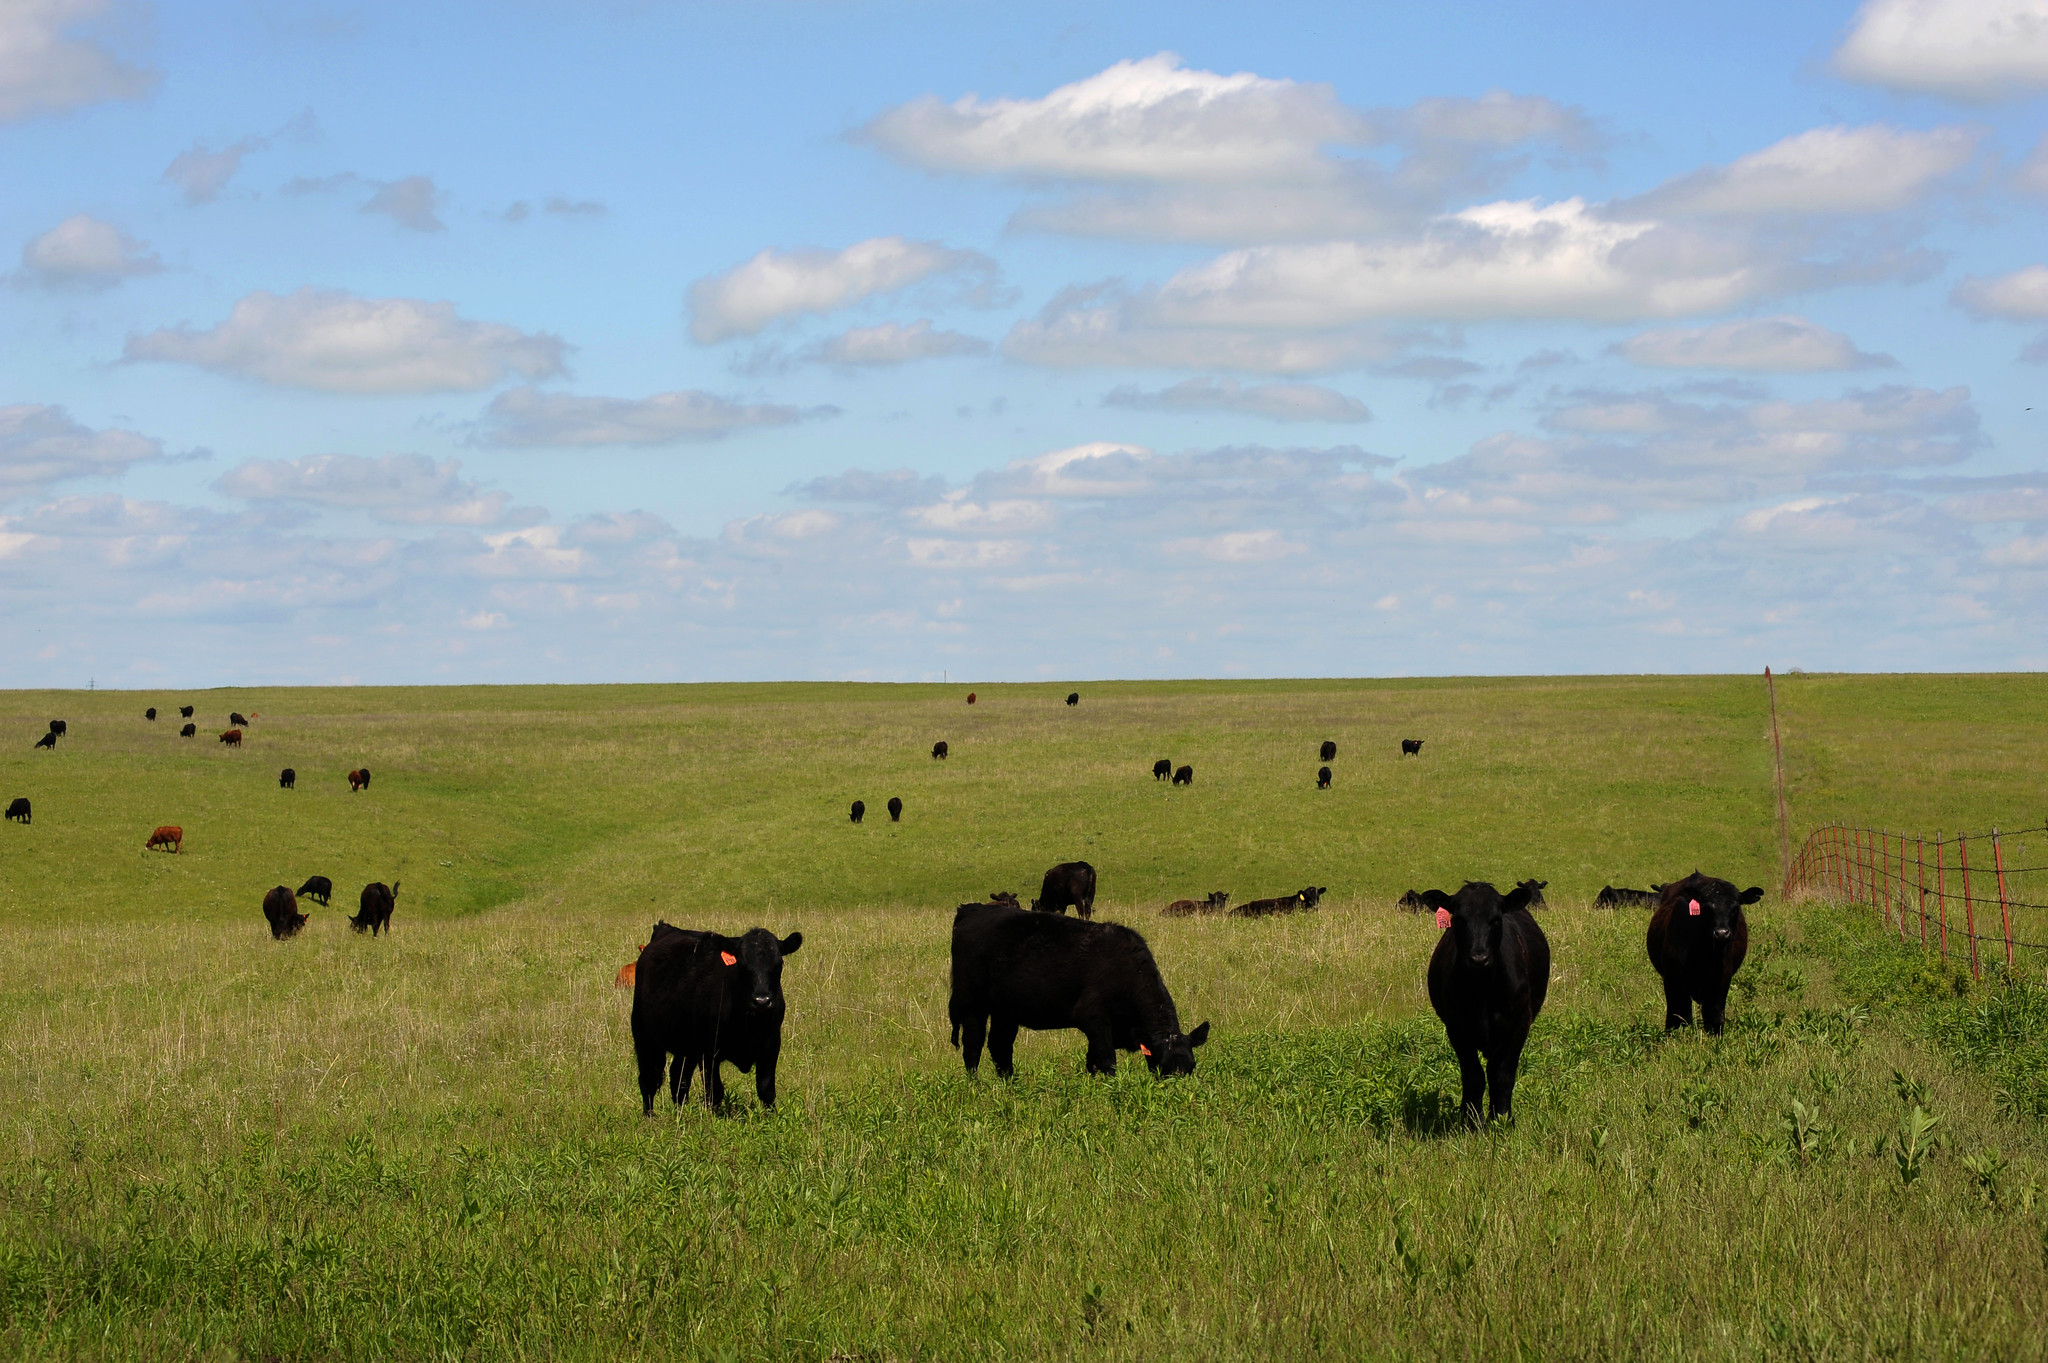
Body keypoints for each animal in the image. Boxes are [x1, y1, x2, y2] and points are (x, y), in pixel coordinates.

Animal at [632, 926, 802, 1112]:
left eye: (779, 964)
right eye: (741, 964)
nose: (762, 1001)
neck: (748, 1023)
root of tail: (665, 928)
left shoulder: (771, 1045)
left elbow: (766, 1090)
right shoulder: (707, 1051)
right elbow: (715, 1092)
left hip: (685, 1047)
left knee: (678, 1077)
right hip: (644, 1037)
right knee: (649, 1079)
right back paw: (650, 1115)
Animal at [949, 902, 1209, 1078]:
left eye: (1192, 1067)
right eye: (1162, 1067)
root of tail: (971, 910)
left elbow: (1092, 1062)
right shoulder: (1095, 1020)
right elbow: (1107, 1061)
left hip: (1006, 1011)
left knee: (999, 1046)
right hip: (972, 1004)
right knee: (973, 1046)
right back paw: (975, 1084)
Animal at [1425, 880, 1551, 1127]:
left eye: (1496, 919)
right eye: (1458, 918)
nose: (1478, 958)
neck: (1482, 988)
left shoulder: (1519, 1024)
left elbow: (1502, 1073)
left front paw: (1502, 1119)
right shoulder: (1456, 1027)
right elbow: (1473, 1074)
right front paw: (1471, 1120)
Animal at [1647, 872, 1763, 1035]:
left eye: (1735, 907)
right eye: (1707, 907)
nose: (1721, 933)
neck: (1703, 955)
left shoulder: (1721, 980)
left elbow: (1714, 1013)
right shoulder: (1673, 978)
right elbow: (1677, 1013)